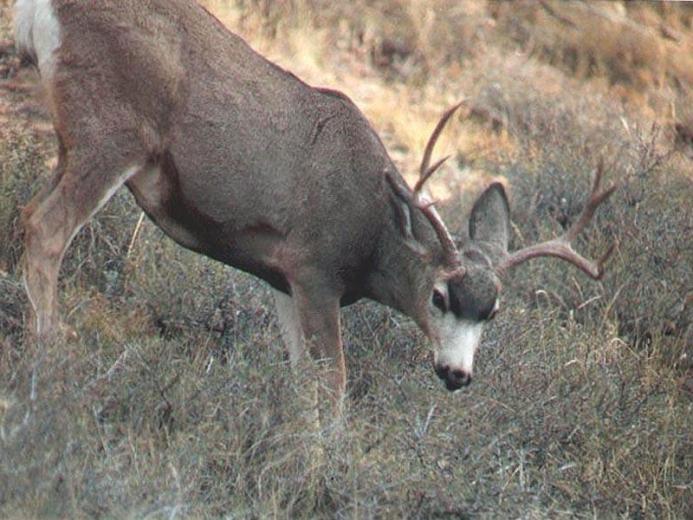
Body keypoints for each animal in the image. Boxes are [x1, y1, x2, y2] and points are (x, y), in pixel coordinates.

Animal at [13, 0, 615, 412]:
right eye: (439, 296)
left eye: (493, 311)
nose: (457, 374)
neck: (372, 233)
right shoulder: (314, 267)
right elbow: (334, 385)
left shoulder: (281, 278)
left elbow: (303, 381)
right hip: (113, 131)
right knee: (45, 229)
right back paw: (49, 356)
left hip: (76, 139)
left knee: (27, 214)